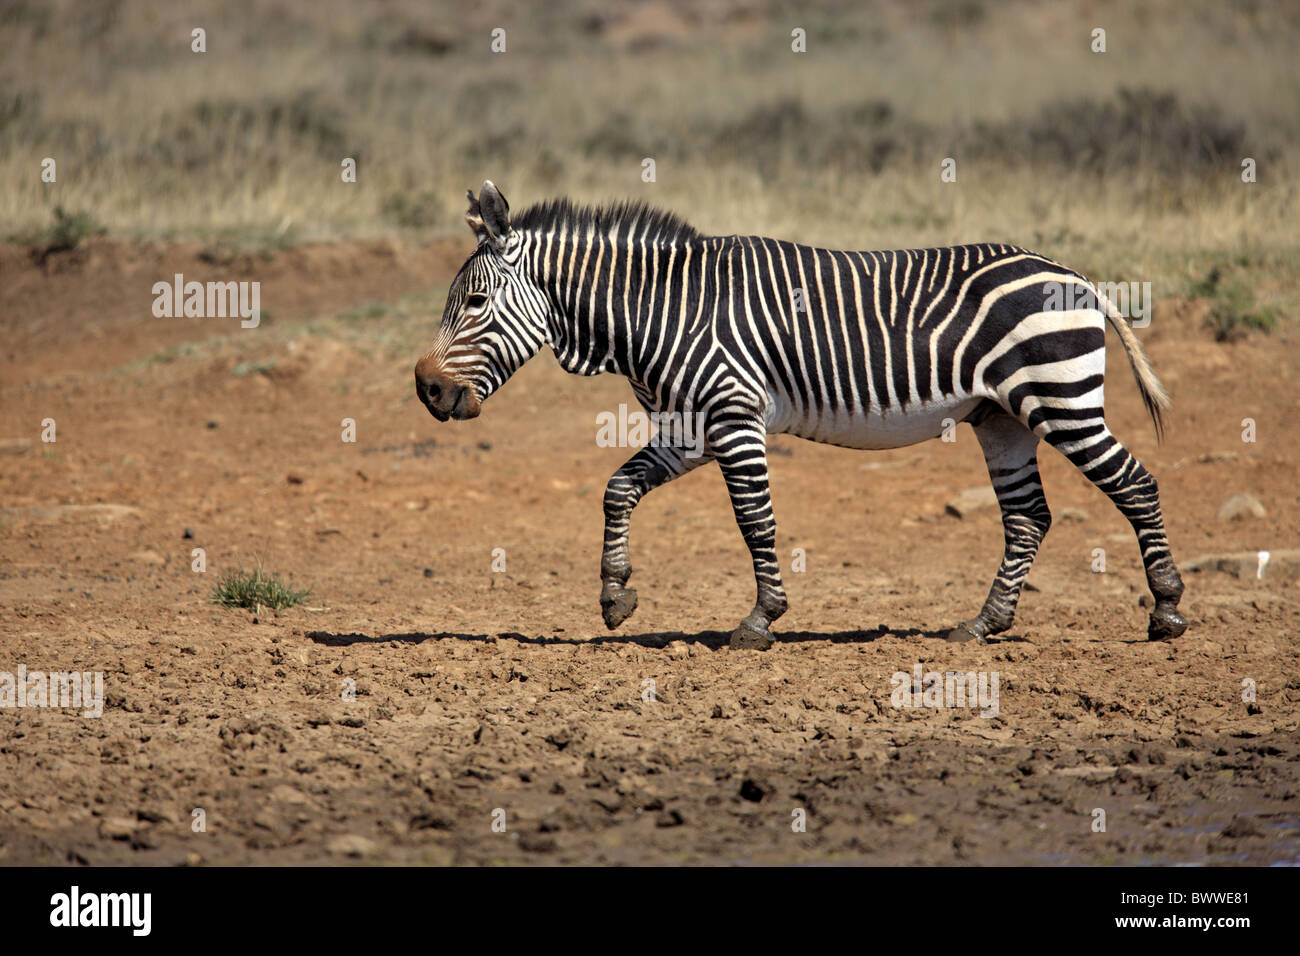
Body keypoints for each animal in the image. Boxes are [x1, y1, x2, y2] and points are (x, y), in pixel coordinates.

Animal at [415, 181, 1188, 650]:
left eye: (475, 303)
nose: (426, 390)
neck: (661, 309)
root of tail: (1076, 275)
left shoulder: (733, 415)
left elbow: (754, 521)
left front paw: (761, 620)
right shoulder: (691, 427)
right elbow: (618, 488)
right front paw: (614, 595)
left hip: (1060, 398)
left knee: (1137, 485)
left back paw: (1167, 610)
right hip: (1002, 418)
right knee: (1029, 516)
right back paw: (983, 623)